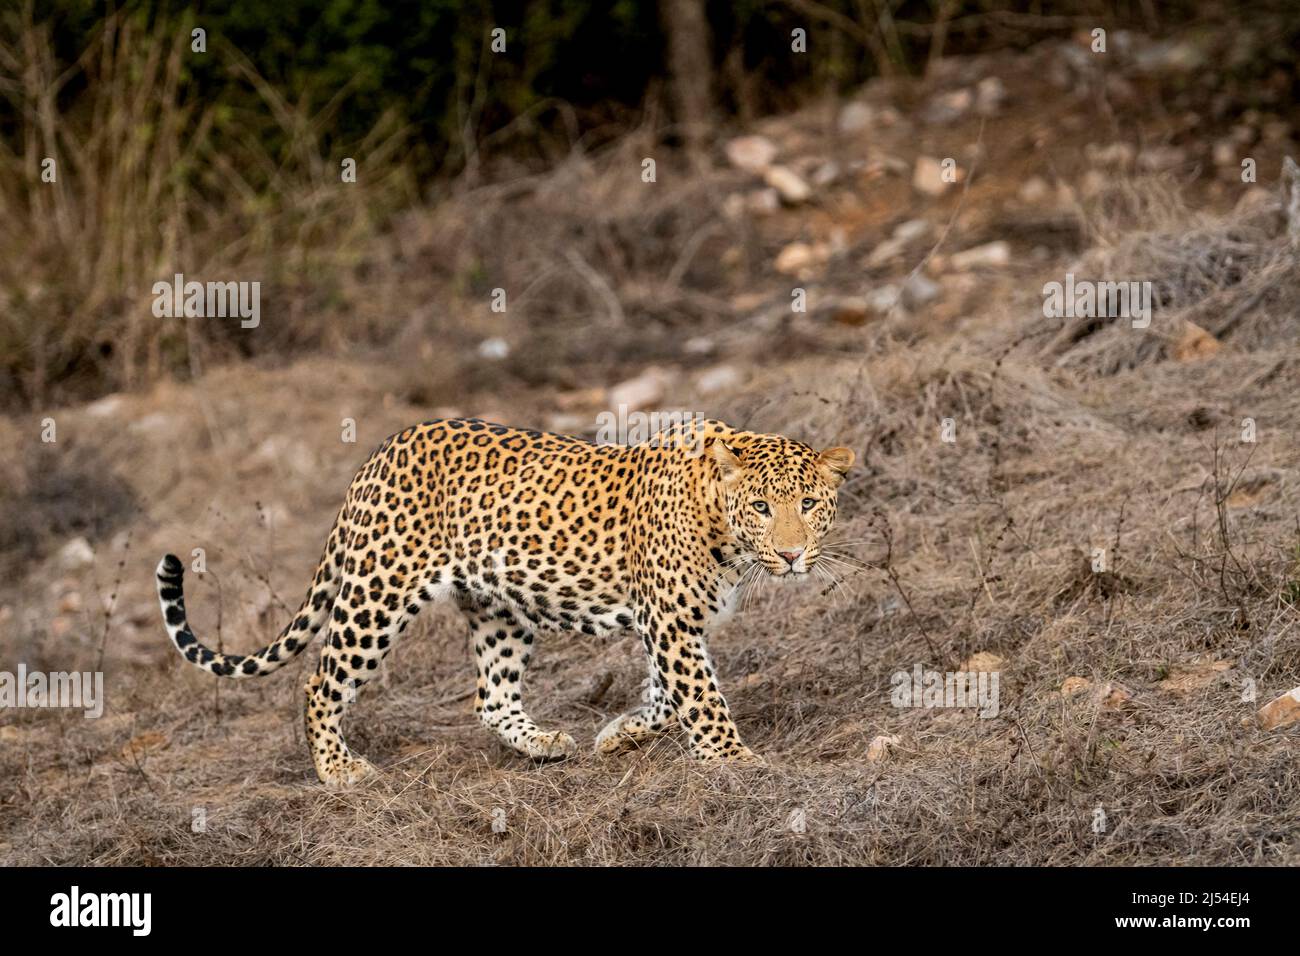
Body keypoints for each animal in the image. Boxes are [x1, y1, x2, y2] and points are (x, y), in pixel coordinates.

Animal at [155, 417, 854, 788]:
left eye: (808, 504)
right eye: (761, 507)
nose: (792, 554)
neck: (725, 531)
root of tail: (376, 455)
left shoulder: (673, 626)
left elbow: (665, 695)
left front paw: (619, 736)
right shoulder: (672, 622)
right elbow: (702, 697)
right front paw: (736, 761)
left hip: (498, 607)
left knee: (490, 697)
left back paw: (542, 743)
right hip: (378, 593)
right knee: (319, 680)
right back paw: (338, 770)